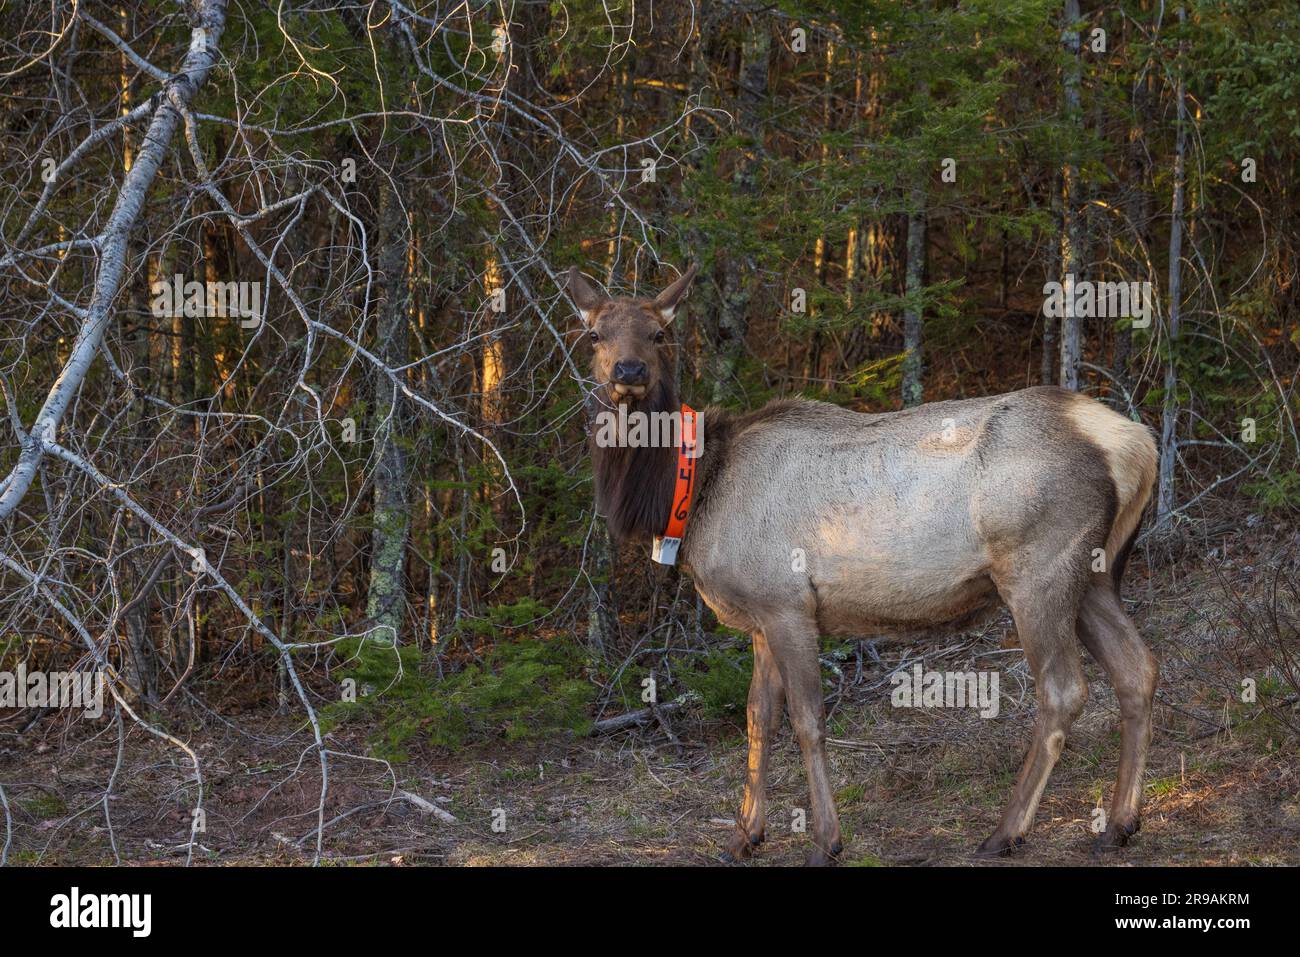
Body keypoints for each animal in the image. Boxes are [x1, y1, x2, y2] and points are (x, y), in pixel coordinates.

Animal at [568, 263, 1160, 866]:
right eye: (594, 335)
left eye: (659, 333)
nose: (629, 370)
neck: (690, 494)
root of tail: (1139, 443)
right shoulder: (760, 616)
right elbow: (758, 718)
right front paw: (743, 836)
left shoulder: (788, 604)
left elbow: (807, 721)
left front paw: (825, 842)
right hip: (1096, 574)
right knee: (1138, 668)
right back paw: (1119, 823)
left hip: (1039, 569)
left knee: (1063, 690)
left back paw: (1007, 830)